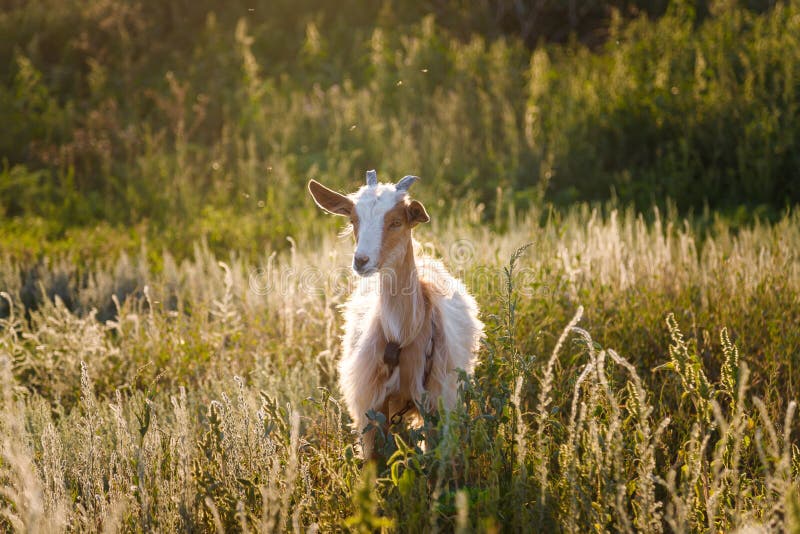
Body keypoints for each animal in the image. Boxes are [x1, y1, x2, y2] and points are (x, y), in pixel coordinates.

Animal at [308, 170, 484, 458]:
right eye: (353, 219)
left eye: (397, 222)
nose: (361, 261)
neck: (402, 335)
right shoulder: (373, 403)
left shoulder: (436, 402)